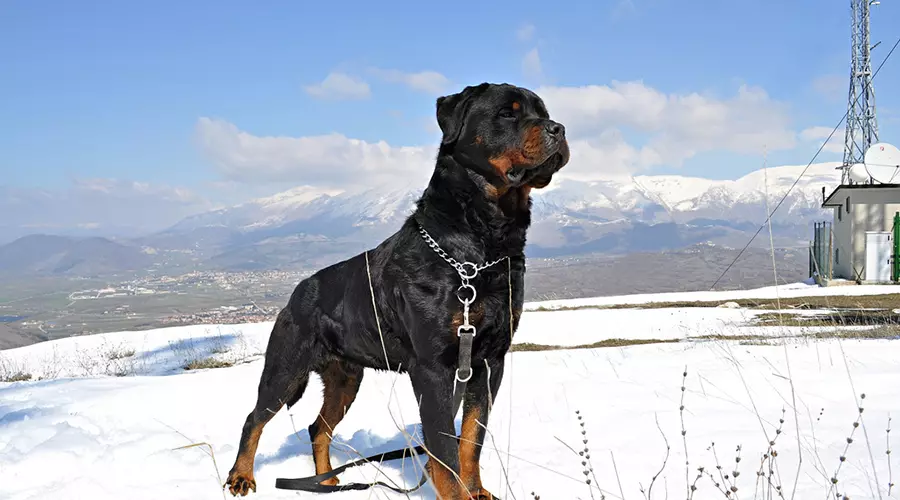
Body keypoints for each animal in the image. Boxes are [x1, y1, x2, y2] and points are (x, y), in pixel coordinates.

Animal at [225, 83, 568, 500]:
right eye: (508, 113)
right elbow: (443, 449)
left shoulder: (489, 361)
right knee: (254, 418)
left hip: (345, 379)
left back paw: (328, 482)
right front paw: (457, 493)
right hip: (286, 365)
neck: (481, 246)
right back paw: (241, 477)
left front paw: (476, 490)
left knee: (318, 427)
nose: (559, 128)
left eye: (543, 111)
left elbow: (472, 437)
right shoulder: (432, 369)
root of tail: (296, 294)